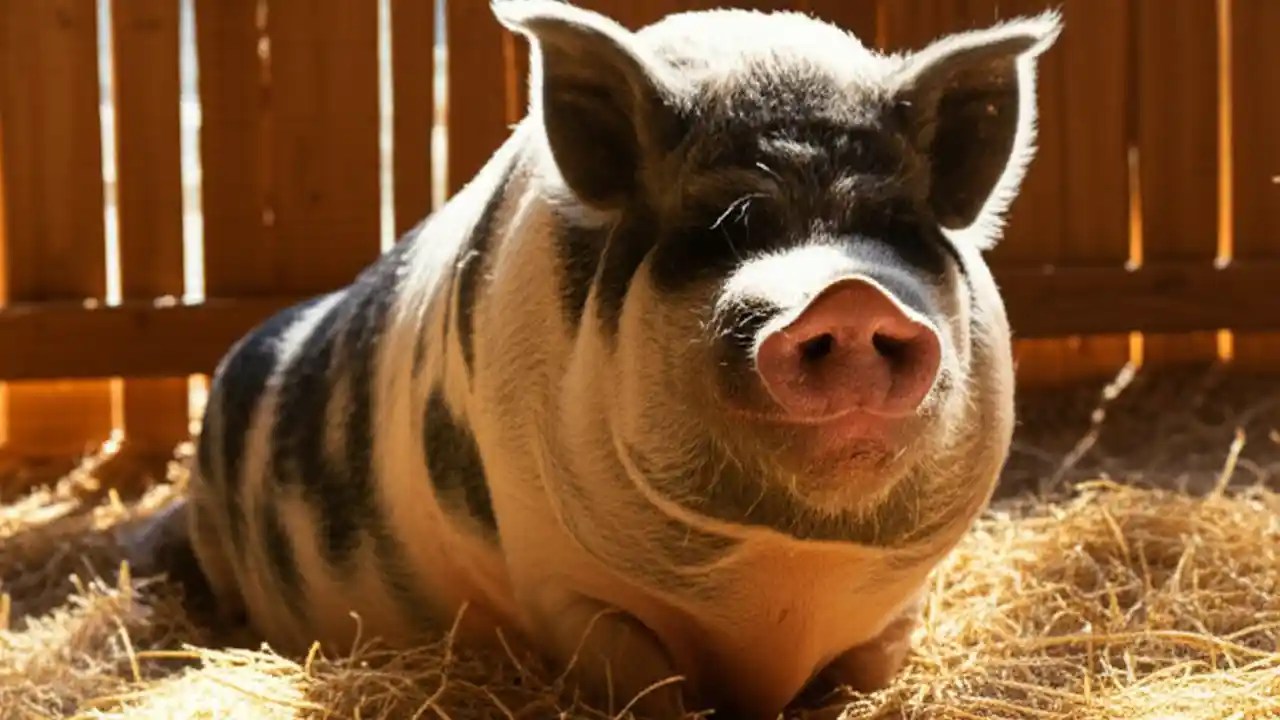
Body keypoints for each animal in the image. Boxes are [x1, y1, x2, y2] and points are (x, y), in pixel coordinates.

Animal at [148, 2, 1061, 717]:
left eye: (895, 227)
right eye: (723, 230)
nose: (849, 292)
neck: (784, 583)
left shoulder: (900, 604)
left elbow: (867, 673)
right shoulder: (561, 582)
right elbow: (644, 683)